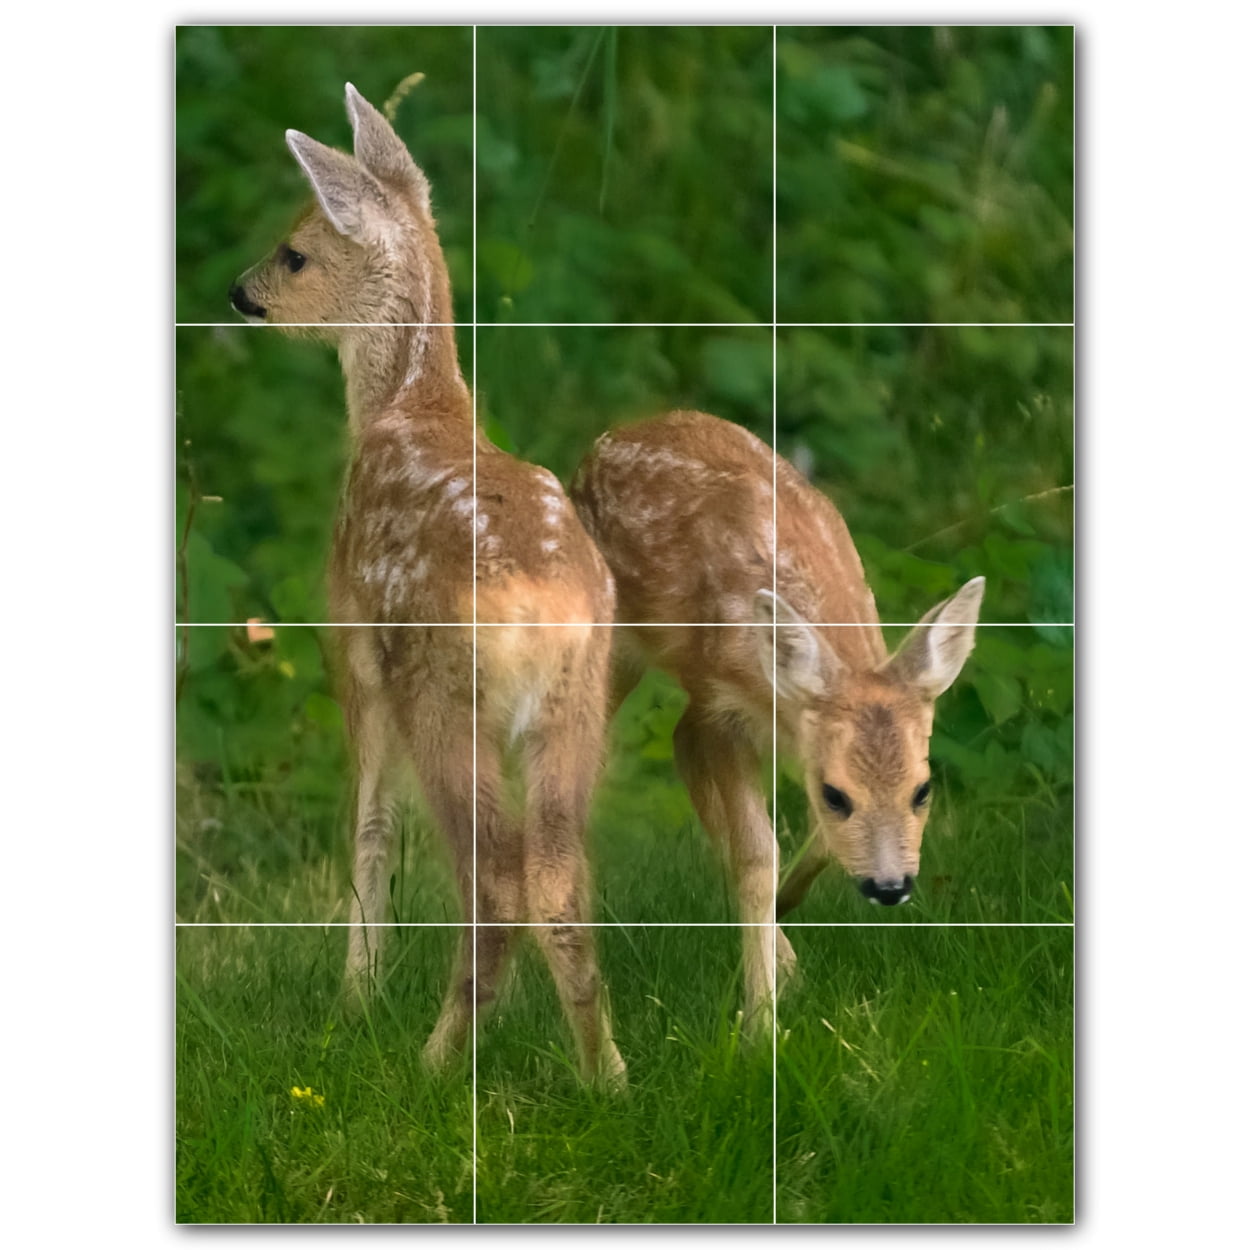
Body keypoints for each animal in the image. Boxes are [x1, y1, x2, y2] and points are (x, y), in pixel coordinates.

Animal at [228, 83, 625, 1087]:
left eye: (296, 250)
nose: (238, 292)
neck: (412, 406)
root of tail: (537, 605)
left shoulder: (351, 642)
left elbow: (370, 824)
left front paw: (353, 997)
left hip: (442, 687)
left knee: (495, 874)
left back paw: (435, 1059)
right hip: (581, 699)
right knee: (559, 872)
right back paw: (605, 1072)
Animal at [571, 410, 984, 1034]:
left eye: (923, 789)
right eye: (838, 794)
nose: (889, 887)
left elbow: (806, 842)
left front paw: (787, 928)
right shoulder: (723, 706)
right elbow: (757, 856)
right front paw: (760, 1022)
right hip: (620, 646)